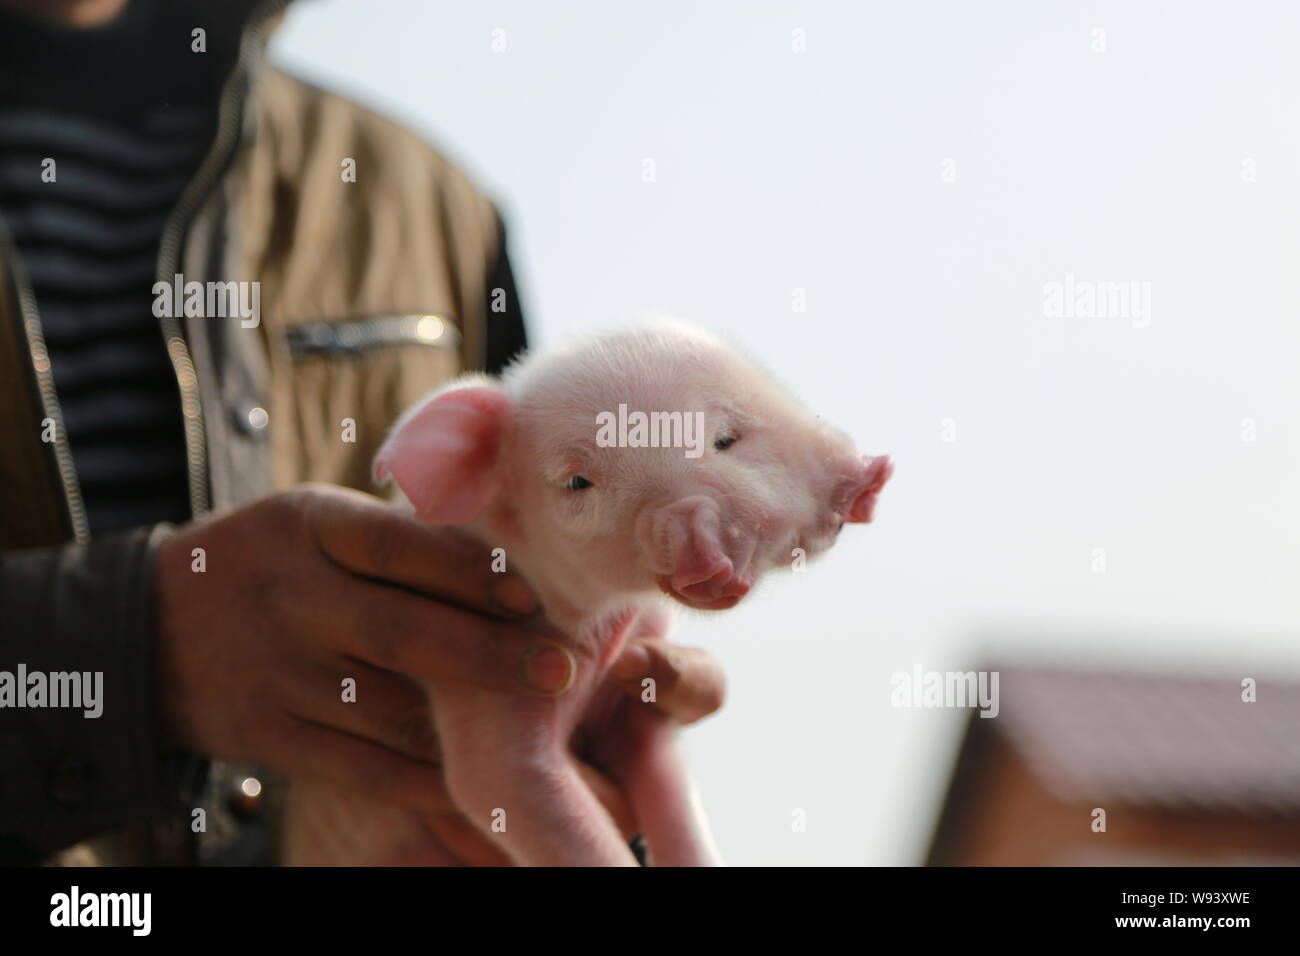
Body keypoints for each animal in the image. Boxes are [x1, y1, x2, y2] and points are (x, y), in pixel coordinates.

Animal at [283, 321, 892, 866]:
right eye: (578, 483)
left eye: (725, 438)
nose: (695, 526)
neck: (603, 617)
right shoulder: (476, 697)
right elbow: (505, 786)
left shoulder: (644, 692)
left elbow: (674, 799)